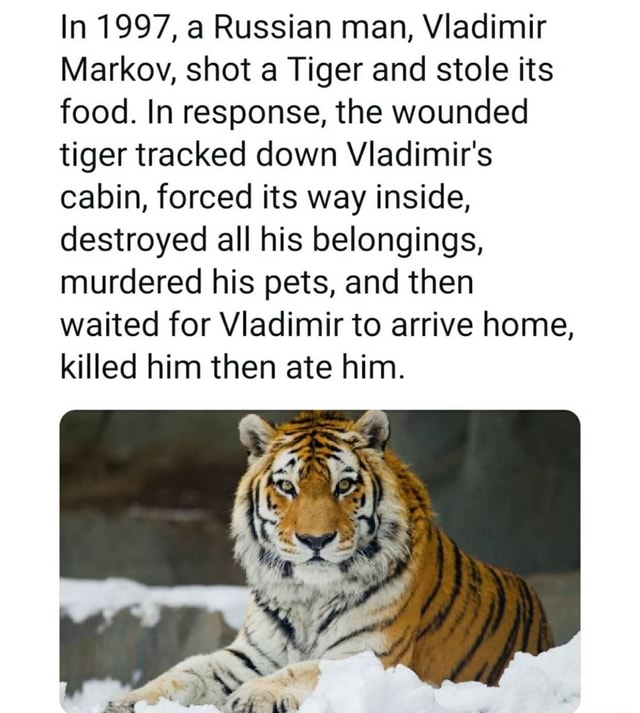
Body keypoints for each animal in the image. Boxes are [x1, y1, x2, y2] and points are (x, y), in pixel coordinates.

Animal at [106, 410, 553, 713]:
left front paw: (253, 695)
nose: (315, 539)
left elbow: (304, 669)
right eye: (287, 487)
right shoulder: (252, 653)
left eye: (344, 486)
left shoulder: (370, 654)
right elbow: (187, 671)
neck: (309, 595)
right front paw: (128, 700)